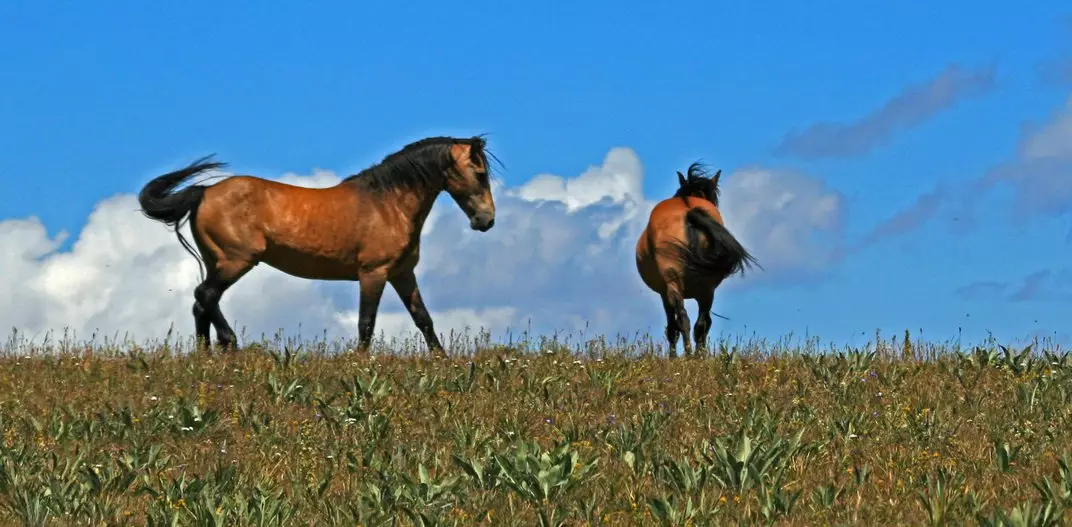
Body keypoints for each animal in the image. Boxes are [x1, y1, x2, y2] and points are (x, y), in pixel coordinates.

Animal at [137, 136, 497, 355]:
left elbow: (423, 319)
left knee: (202, 304)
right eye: (480, 173)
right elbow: (366, 323)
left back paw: (208, 354)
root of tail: (204, 193)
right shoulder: (373, 273)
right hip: (236, 261)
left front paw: (442, 359)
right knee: (205, 296)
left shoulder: (402, 274)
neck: (388, 204)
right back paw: (230, 344)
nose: (486, 220)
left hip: (219, 262)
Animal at [634, 161, 763, 357]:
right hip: (708, 289)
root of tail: (689, 211)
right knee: (702, 323)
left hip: (674, 282)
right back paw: (698, 356)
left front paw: (673, 357)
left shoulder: (664, 293)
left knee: (683, 319)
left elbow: (672, 328)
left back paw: (687, 355)